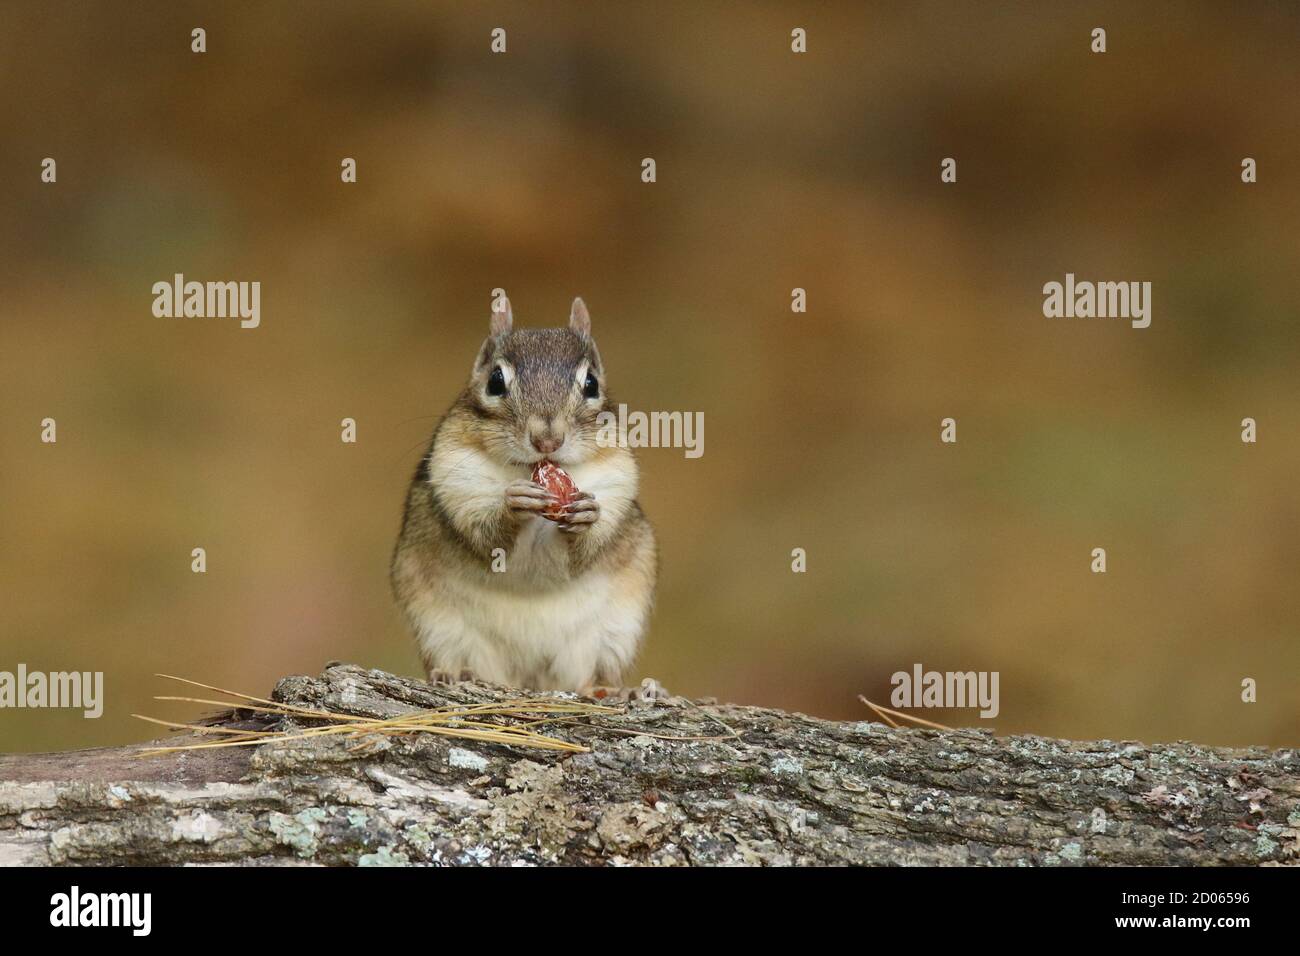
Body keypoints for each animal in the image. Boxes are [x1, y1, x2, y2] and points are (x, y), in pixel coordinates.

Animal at [390, 296, 661, 699]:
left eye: (592, 384)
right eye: (495, 381)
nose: (547, 439)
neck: (530, 469)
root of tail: (532, 679)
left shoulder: (617, 482)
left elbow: (586, 548)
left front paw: (585, 516)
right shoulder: (456, 481)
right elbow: (484, 537)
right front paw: (512, 505)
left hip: (614, 630)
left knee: (594, 672)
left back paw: (613, 690)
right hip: (440, 626)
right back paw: (456, 674)